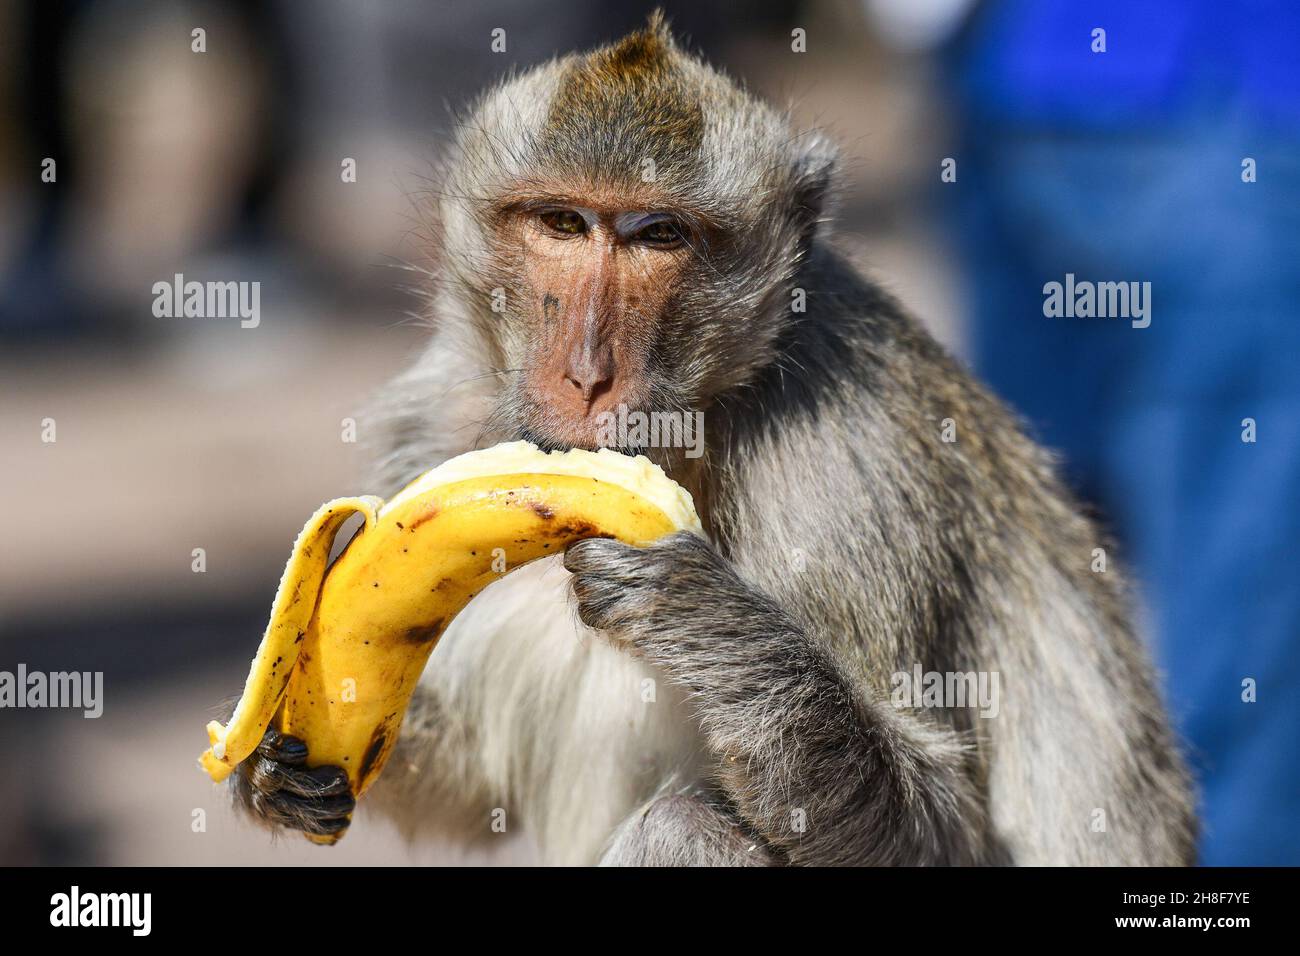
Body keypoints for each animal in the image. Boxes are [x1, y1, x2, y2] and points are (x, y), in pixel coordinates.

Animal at [231, 13, 1196, 866]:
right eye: (561, 223)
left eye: (661, 235)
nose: (587, 373)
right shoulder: (439, 421)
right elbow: (468, 777)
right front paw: (278, 751)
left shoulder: (847, 469)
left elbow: (941, 827)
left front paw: (699, 614)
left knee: (687, 825)